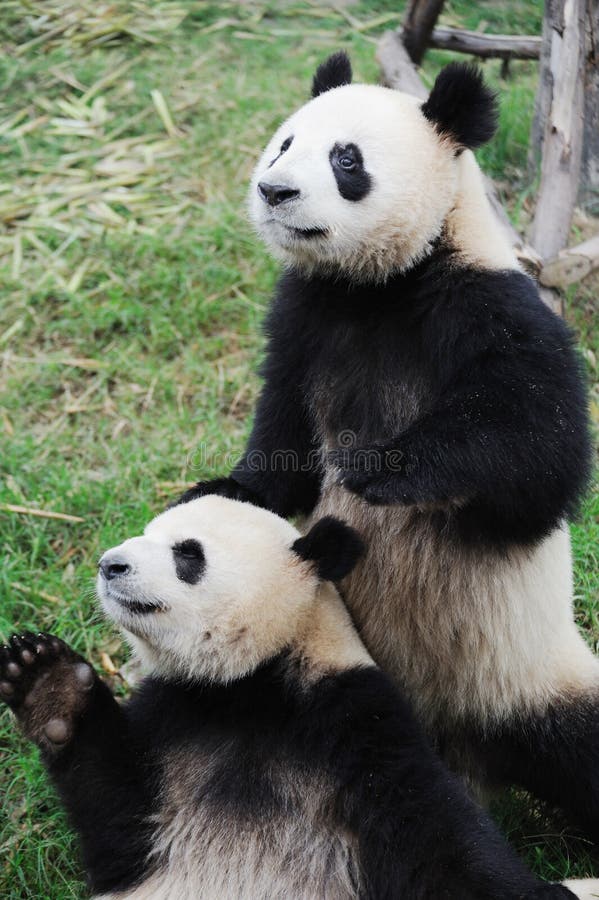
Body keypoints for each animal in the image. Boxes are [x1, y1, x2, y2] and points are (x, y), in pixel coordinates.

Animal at [0, 496, 589, 899]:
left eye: (187, 554)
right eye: (146, 533)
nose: (111, 564)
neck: (250, 687)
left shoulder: (350, 722)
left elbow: (435, 838)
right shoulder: (173, 720)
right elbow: (118, 820)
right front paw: (48, 685)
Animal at [176, 53, 598, 843]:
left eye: (347, 160)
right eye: (284, 143)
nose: (274, 190)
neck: (377, 286)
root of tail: (471, 756)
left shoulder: (490, 307)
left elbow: (540, 458)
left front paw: (381, 468)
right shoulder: (307, 319)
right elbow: (284, 435)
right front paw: (225, 491)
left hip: (530, 678)